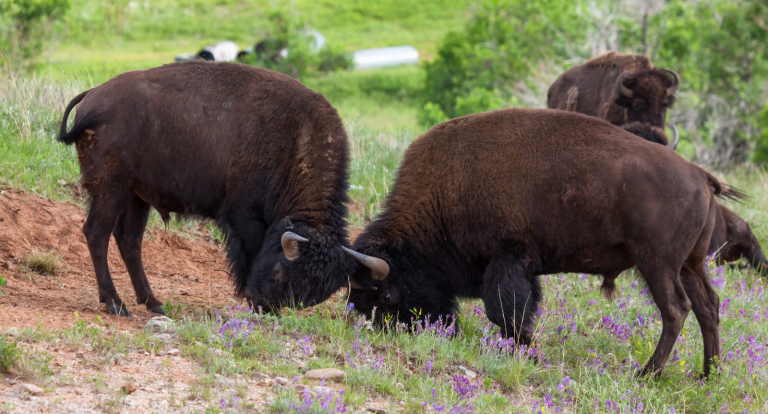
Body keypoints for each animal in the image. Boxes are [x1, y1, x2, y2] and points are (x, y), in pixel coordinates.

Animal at [58, 61, 359, 316]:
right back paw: (115, 304)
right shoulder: (244, 216)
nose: (267, 306)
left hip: (135, 194)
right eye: (278, 271)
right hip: (110, 187)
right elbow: (250, 253)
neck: (298, 142)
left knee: (129, 240)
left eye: (311, 297)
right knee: (97, 233)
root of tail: (93, 95)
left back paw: (154, 303)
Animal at [347, 108, 734, 377]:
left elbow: (506, 309)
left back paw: (648, 374)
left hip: (657, 264)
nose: (377, 329)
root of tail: (700, 176)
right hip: (688, 266)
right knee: (708, 307)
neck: (443, 195)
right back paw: (709, 375)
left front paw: (523, 351)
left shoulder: (507, 260)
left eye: (386, 295)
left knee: (676, 310)